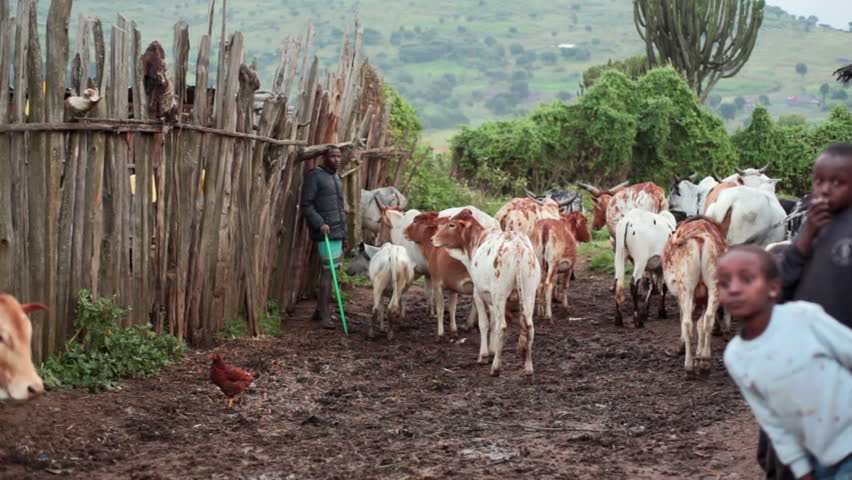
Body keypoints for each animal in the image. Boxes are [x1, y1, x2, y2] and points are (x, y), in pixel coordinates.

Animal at [404, 212, 478, 340]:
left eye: (415, 221)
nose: (404, 231)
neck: (433, 250)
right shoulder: (453, 287)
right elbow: (452, 308)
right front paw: (454, 331)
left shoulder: (437, 282)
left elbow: (440, 308)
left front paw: (440, 334)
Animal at [432, 209, 541, 376]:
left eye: (452, 225)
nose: (433, 239)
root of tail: (517, 247)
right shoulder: (491, 299)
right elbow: (493, 321)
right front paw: (492, 350)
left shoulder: (478, 294)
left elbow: (484, 324)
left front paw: (483, 355)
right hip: (528, 294)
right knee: (528, 327)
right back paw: (528, 367)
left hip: (500, 295)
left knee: (502, 328)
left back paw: (495, 368)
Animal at [662, 215, 730, 373]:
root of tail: (701, 235)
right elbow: (701, 323)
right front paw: (699, 354)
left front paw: (681, 347)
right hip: (714, 285)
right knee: (708, 319)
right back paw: (705, 358)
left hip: (686, 287)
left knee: (687, 323)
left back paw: (688, 365)